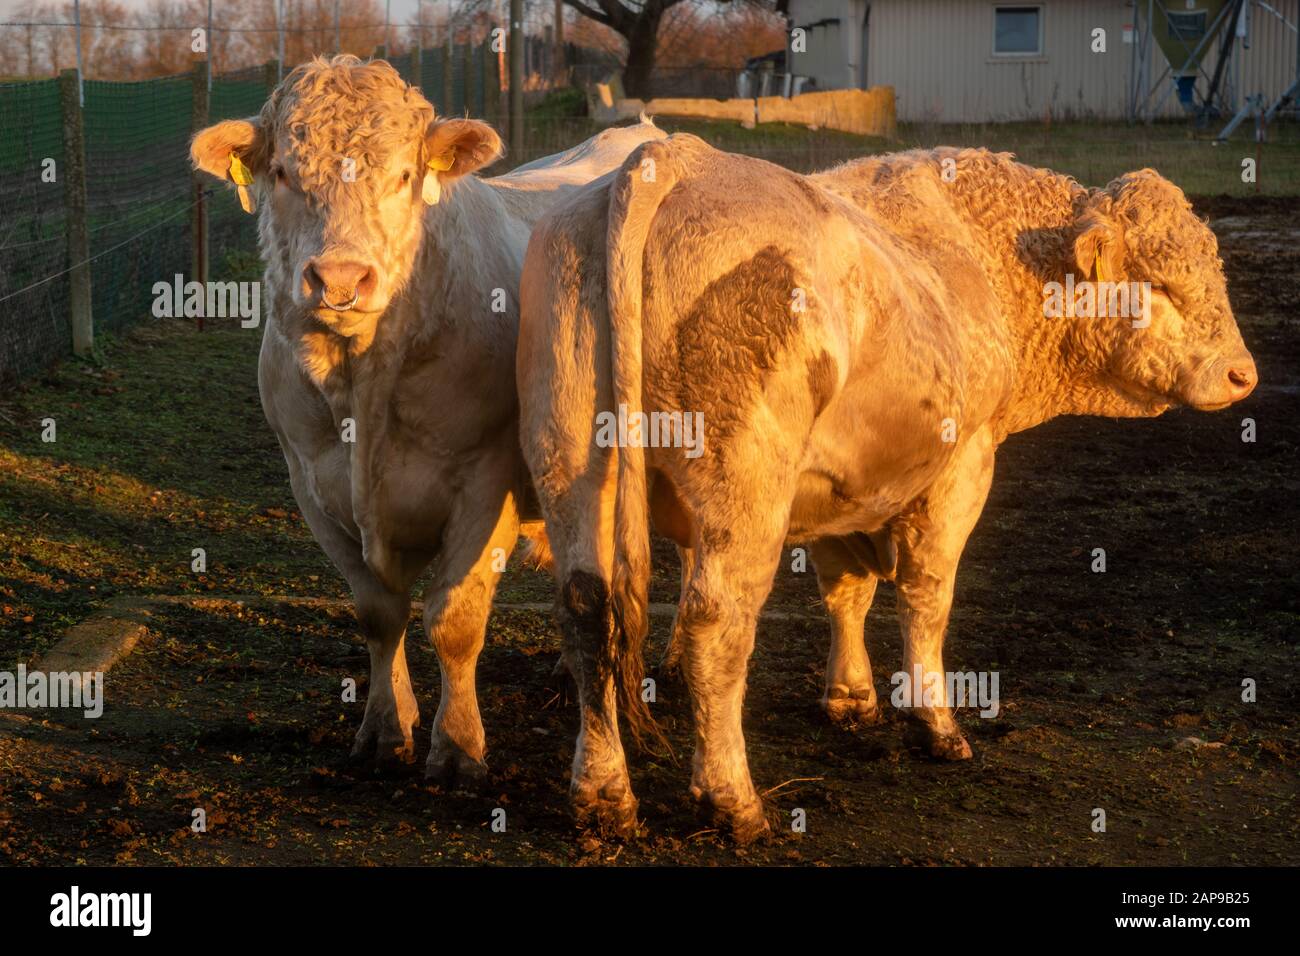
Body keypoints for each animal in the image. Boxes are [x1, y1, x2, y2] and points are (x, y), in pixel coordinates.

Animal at [189, 55, 663, 785]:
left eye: (405, 176)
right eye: (284, 173)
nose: (340, 278)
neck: (361, 387)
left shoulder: (485, 483)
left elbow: (455, 620)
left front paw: (459, 745)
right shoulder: (310, 485)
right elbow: (380, 614)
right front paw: (387, 727)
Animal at [516, 134, 1257, 841]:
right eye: (1159, 284)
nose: (1242, 374)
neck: (979, 255)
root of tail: (675, 157)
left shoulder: (841, 482)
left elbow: (847, 590)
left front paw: (850, 696)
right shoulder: (965, 464)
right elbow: (927, 595)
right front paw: (934, 721)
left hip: (573, 464)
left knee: (587, 613)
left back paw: (602, 797)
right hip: (745, 484)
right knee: (715, 626)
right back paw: (732, 799)